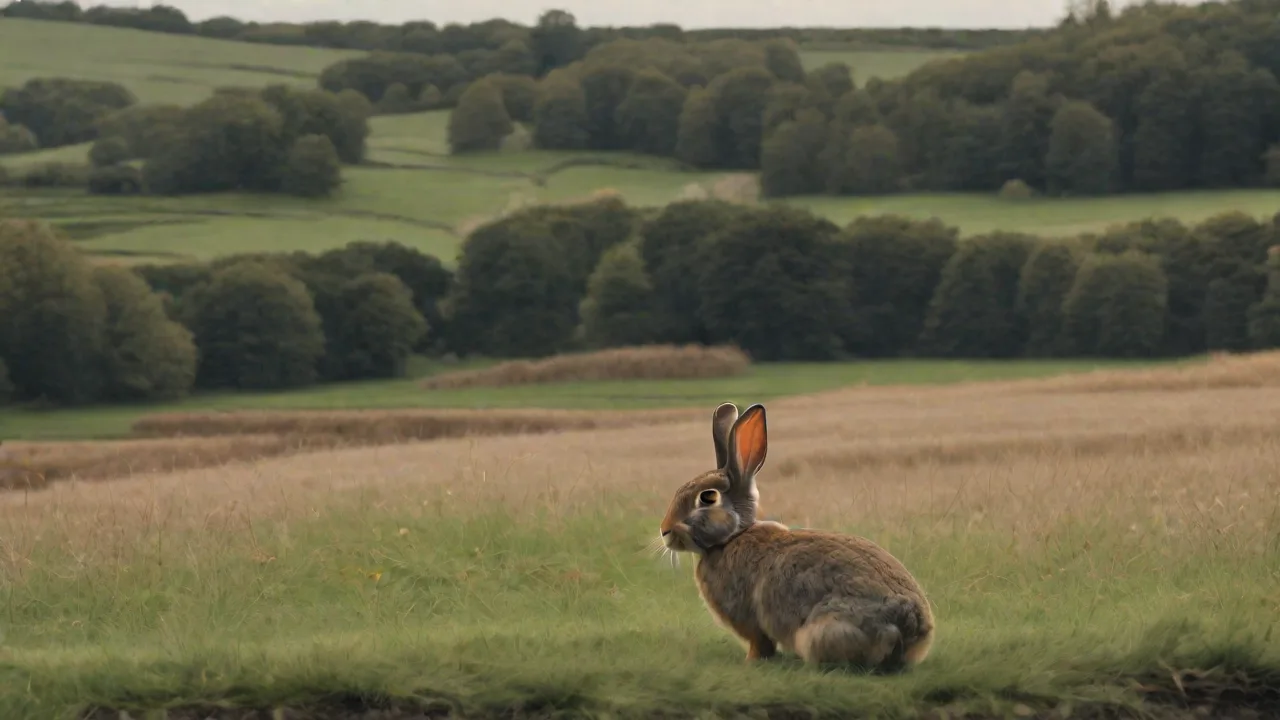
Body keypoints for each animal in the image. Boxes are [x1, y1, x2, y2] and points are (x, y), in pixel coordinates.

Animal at [659, 402, 934, 671]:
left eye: (707, 497)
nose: (665, 530)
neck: (731, 537)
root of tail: (908, 624)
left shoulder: (750, 622)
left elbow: (761, 644)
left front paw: (749, 661)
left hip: (820, 633)